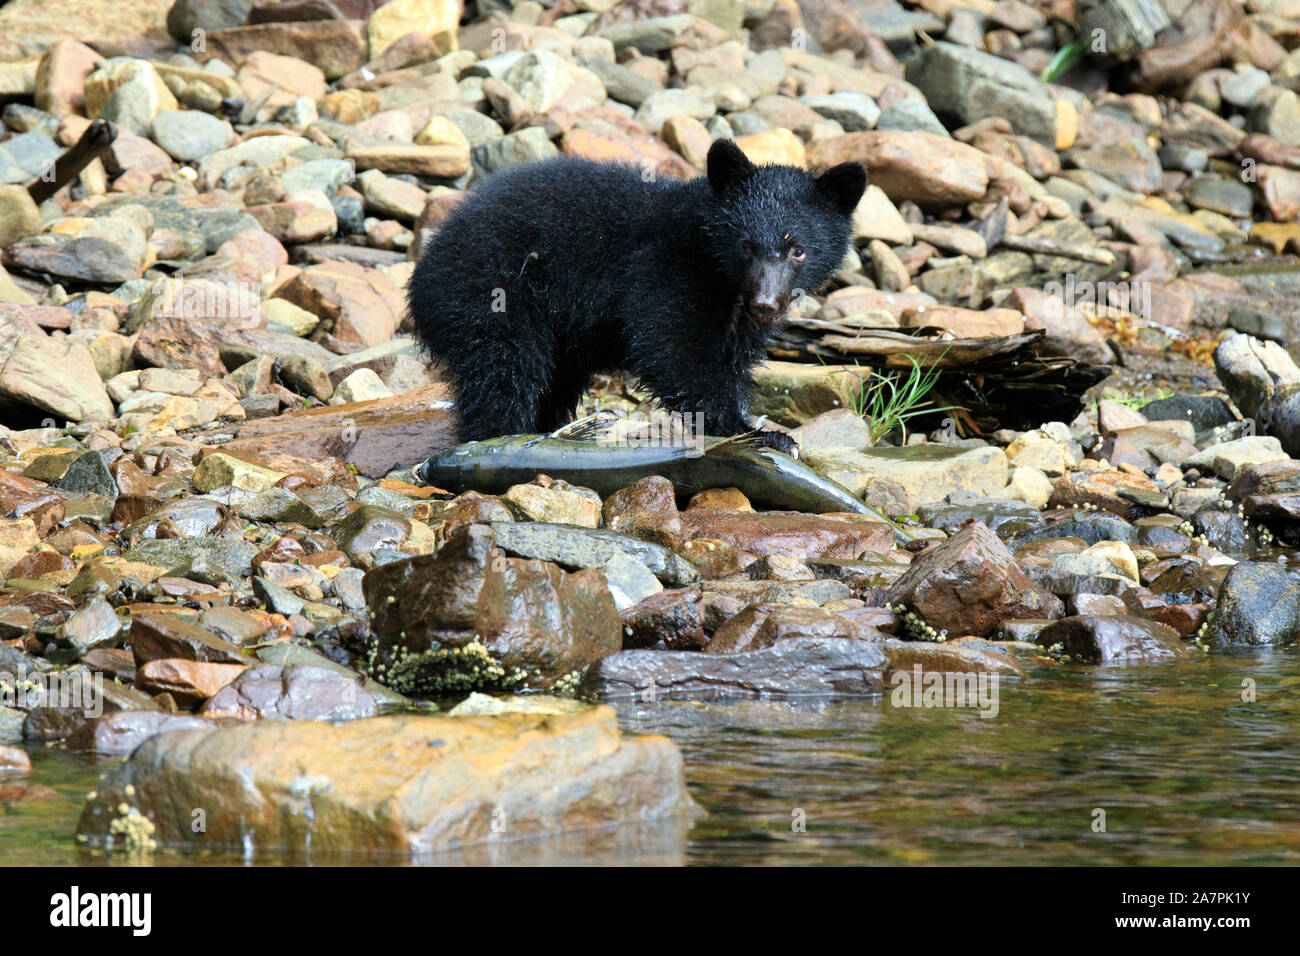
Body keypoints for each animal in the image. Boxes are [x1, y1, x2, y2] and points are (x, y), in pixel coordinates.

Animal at [407, 139, 867, 454]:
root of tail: (422, 273)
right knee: (505, 371)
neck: (719, 270)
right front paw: (752, 431)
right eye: (746, 245)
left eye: (798, 250)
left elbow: (730, 360)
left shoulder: (737, 319)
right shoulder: (664, 268)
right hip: (488, 294)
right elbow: (671, 346)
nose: (765, 304)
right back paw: (497, 437)